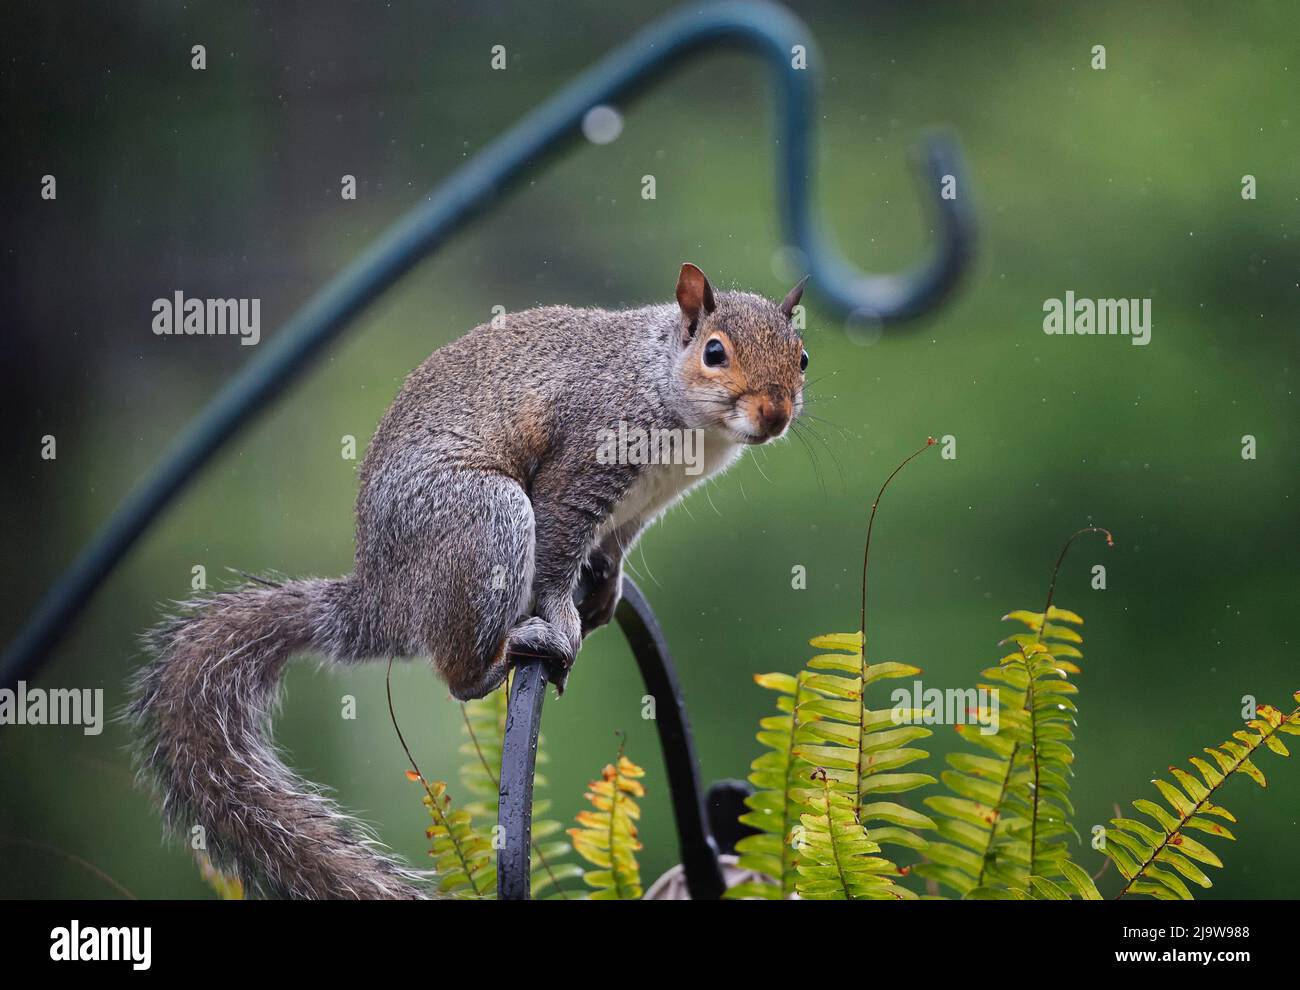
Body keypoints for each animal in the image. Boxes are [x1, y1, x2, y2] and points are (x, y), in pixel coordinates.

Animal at [128, 263, 809, 899]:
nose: (775, 413)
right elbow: (557, 552)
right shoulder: (586, 457)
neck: (670, 392)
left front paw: (608, 588)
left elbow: (612, 548)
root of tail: (379, 603)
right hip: (487, 519)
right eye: (714, 352)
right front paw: (563, 617)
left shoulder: (640, 507)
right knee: (459, 675)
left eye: (802, 357)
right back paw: (512, 651)